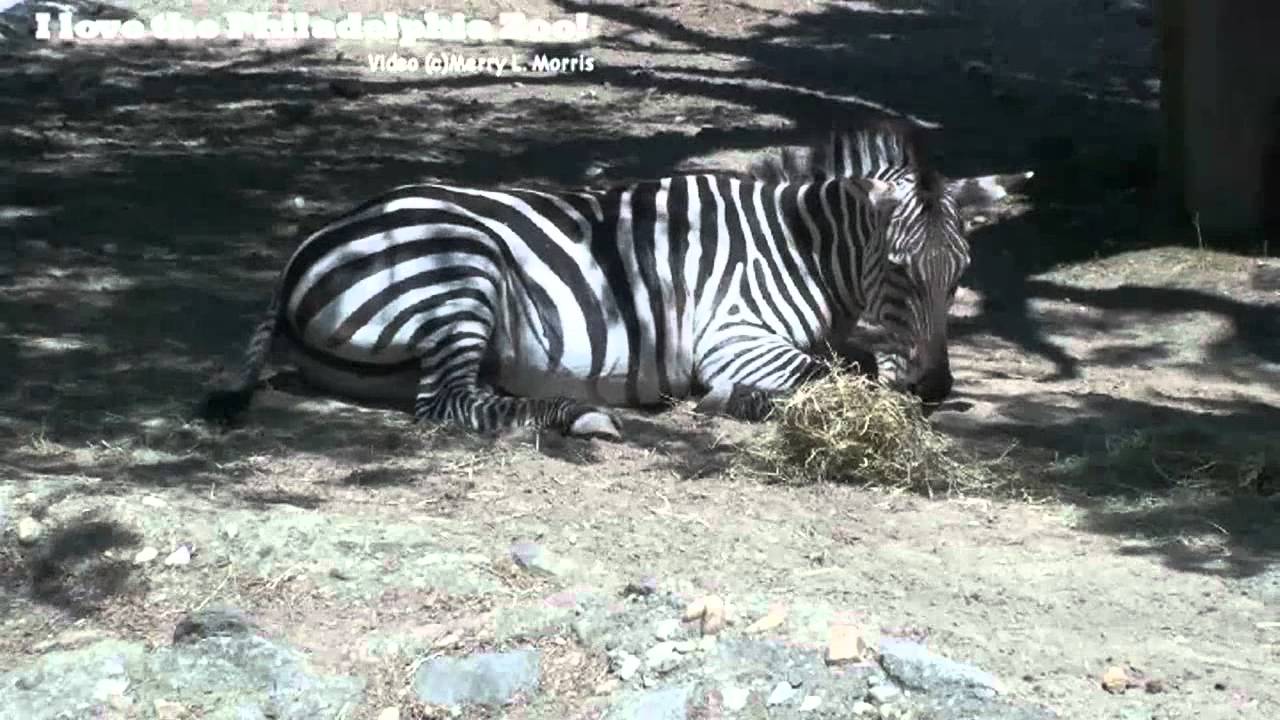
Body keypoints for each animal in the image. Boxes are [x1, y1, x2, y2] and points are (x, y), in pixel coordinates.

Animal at [201, 119, 1032, 440]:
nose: (937, 386)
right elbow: (836, 371)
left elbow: (857, 359)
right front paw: (737, 401)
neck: (794, 247)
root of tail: (303, 252)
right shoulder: (732, 336)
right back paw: (578, 416)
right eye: (897, 271)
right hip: (461, 267)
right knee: (449, 405)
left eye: (960, 277)